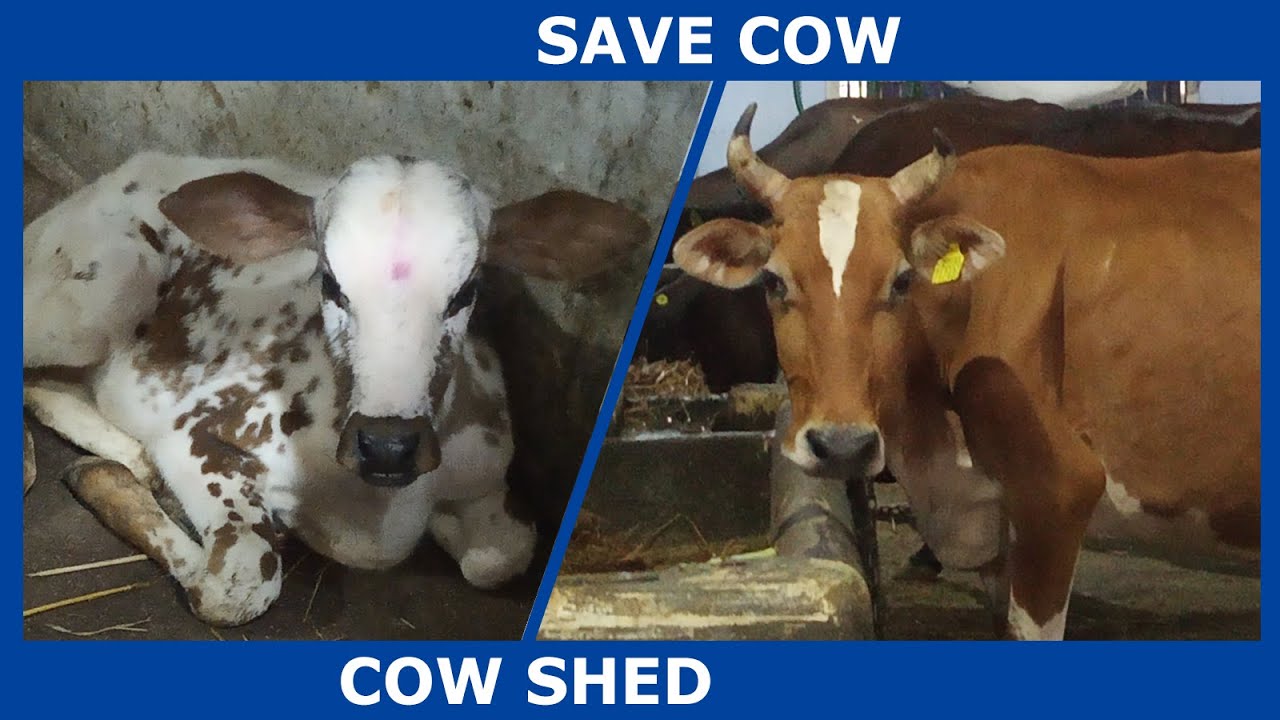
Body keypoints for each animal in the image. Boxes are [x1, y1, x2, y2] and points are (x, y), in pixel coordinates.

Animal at [23, 151, 649, 626]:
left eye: (466, 290)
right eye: (329, 281)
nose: (388, 445)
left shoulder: (487, 474)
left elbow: (501, 558)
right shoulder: (199, 427)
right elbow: (236, 588)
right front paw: (112, 486)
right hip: (98, 294)